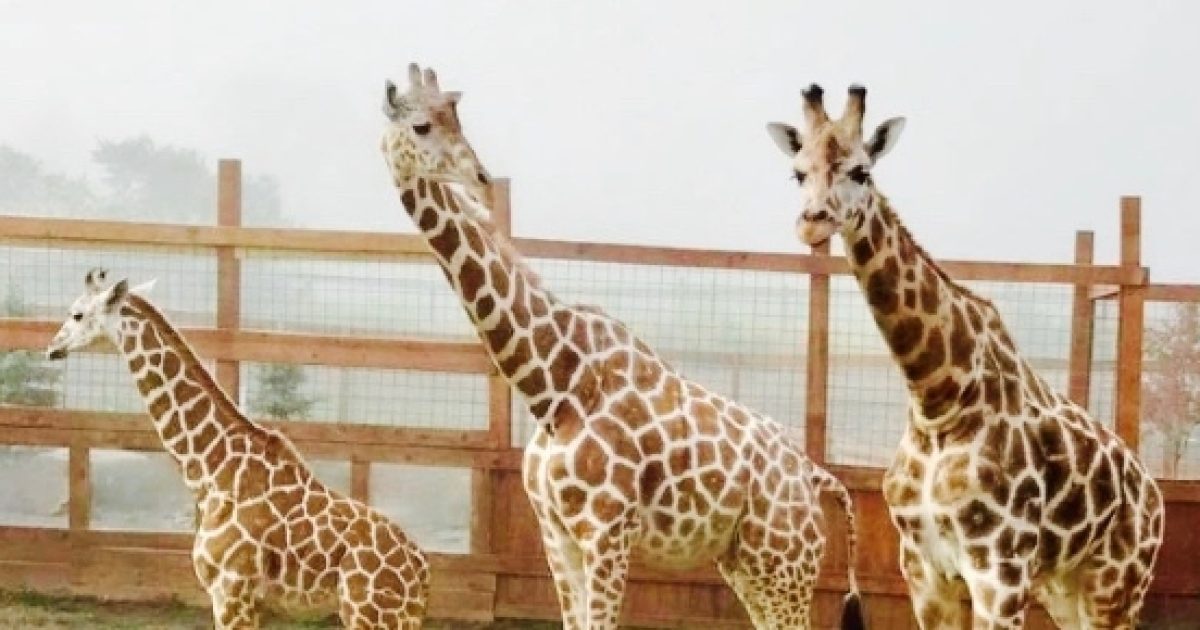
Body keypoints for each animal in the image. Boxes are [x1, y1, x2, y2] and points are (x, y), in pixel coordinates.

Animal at [44, 269, 430, 629]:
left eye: (77, 314)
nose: (51, 348)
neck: (211, 472)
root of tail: (420, 567)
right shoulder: (240, 597)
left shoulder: (230, 590)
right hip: (394, 617)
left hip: (371, 614)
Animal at [379, 63, 866, 629]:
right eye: (421, 126)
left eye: (454, 120)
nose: (479, 177)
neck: (553, 387)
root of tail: (815, 477)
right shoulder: (558, 537)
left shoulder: (608, 533)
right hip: (748, 563)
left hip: (786, 566)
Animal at [766, 84, 1164, 628]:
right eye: (798, 172)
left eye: (861, 171)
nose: (812, 224)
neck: (937, 396)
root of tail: (1154, 494)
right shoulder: (924, 571)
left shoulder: (1000, 570)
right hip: (1066, 588)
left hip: (1116, 586)